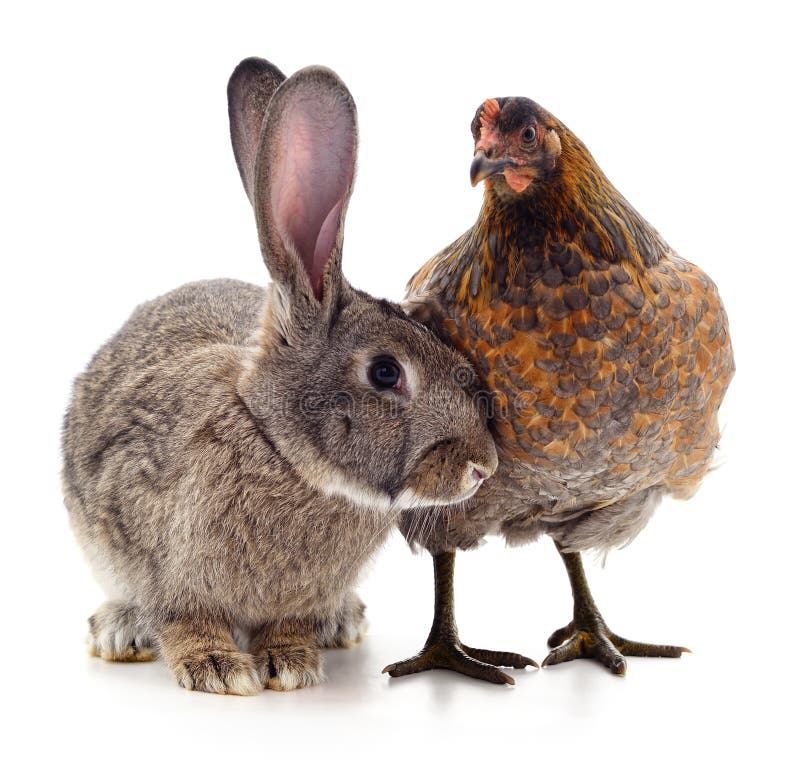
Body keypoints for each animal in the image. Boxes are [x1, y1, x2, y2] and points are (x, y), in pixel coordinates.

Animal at [61, 58, 498, 695]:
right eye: (385, 372)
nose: (483, 466)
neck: (281, 449)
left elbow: (285, 624)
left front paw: (290, 662)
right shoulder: (155, 553)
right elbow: (183, 617)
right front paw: (215, 667)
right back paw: (120, 631)